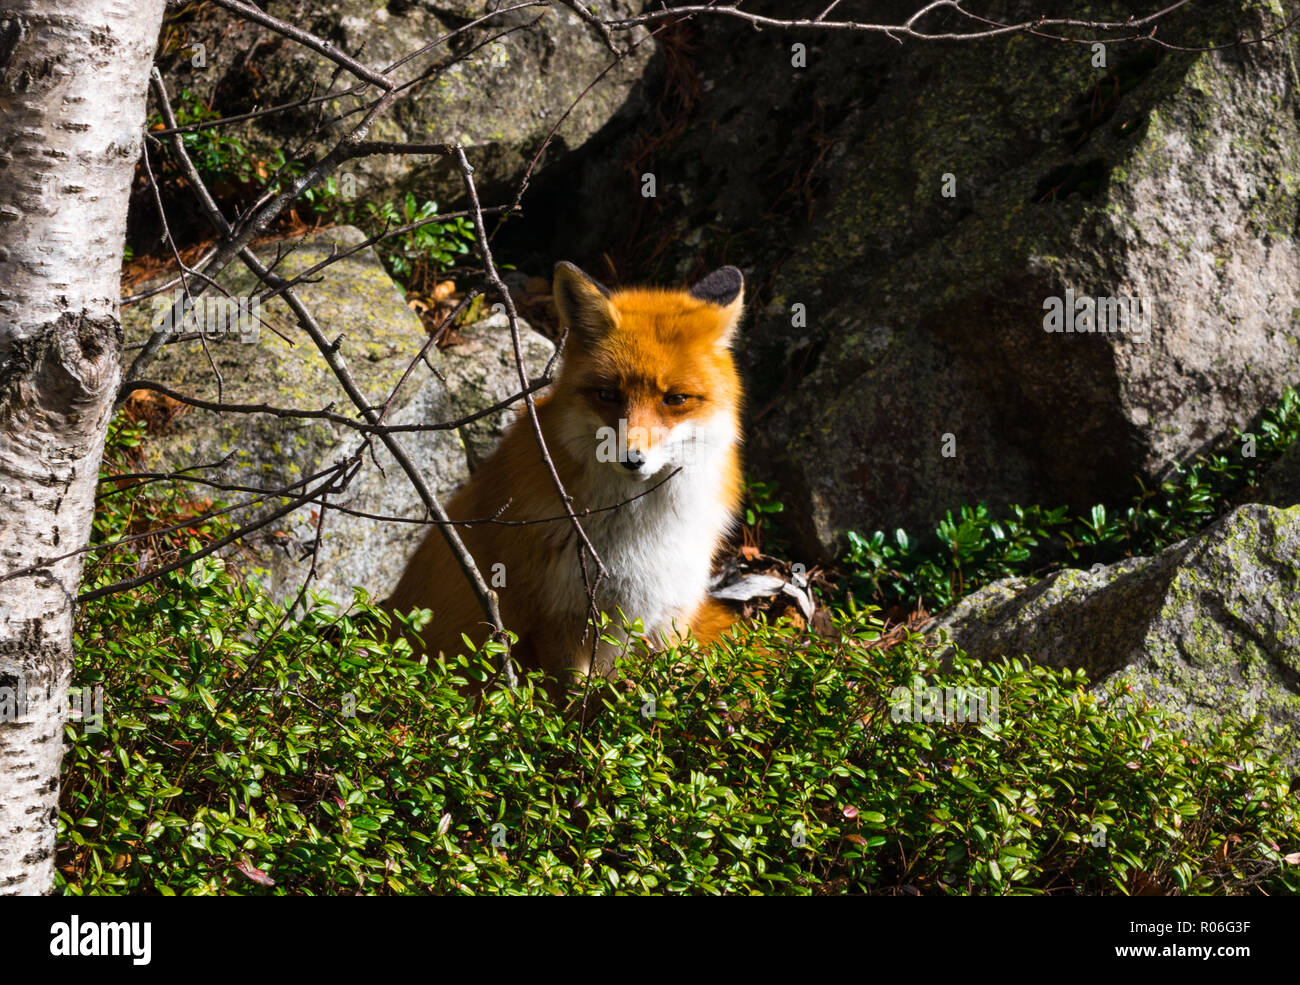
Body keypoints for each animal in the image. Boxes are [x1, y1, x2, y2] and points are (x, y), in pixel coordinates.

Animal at [384, 261, 746, 685]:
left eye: (675, 399)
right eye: (607, 395)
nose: (632, 458)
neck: (636, 534)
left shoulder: (669, 618)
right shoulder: (560, 620)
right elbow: (571, 699)